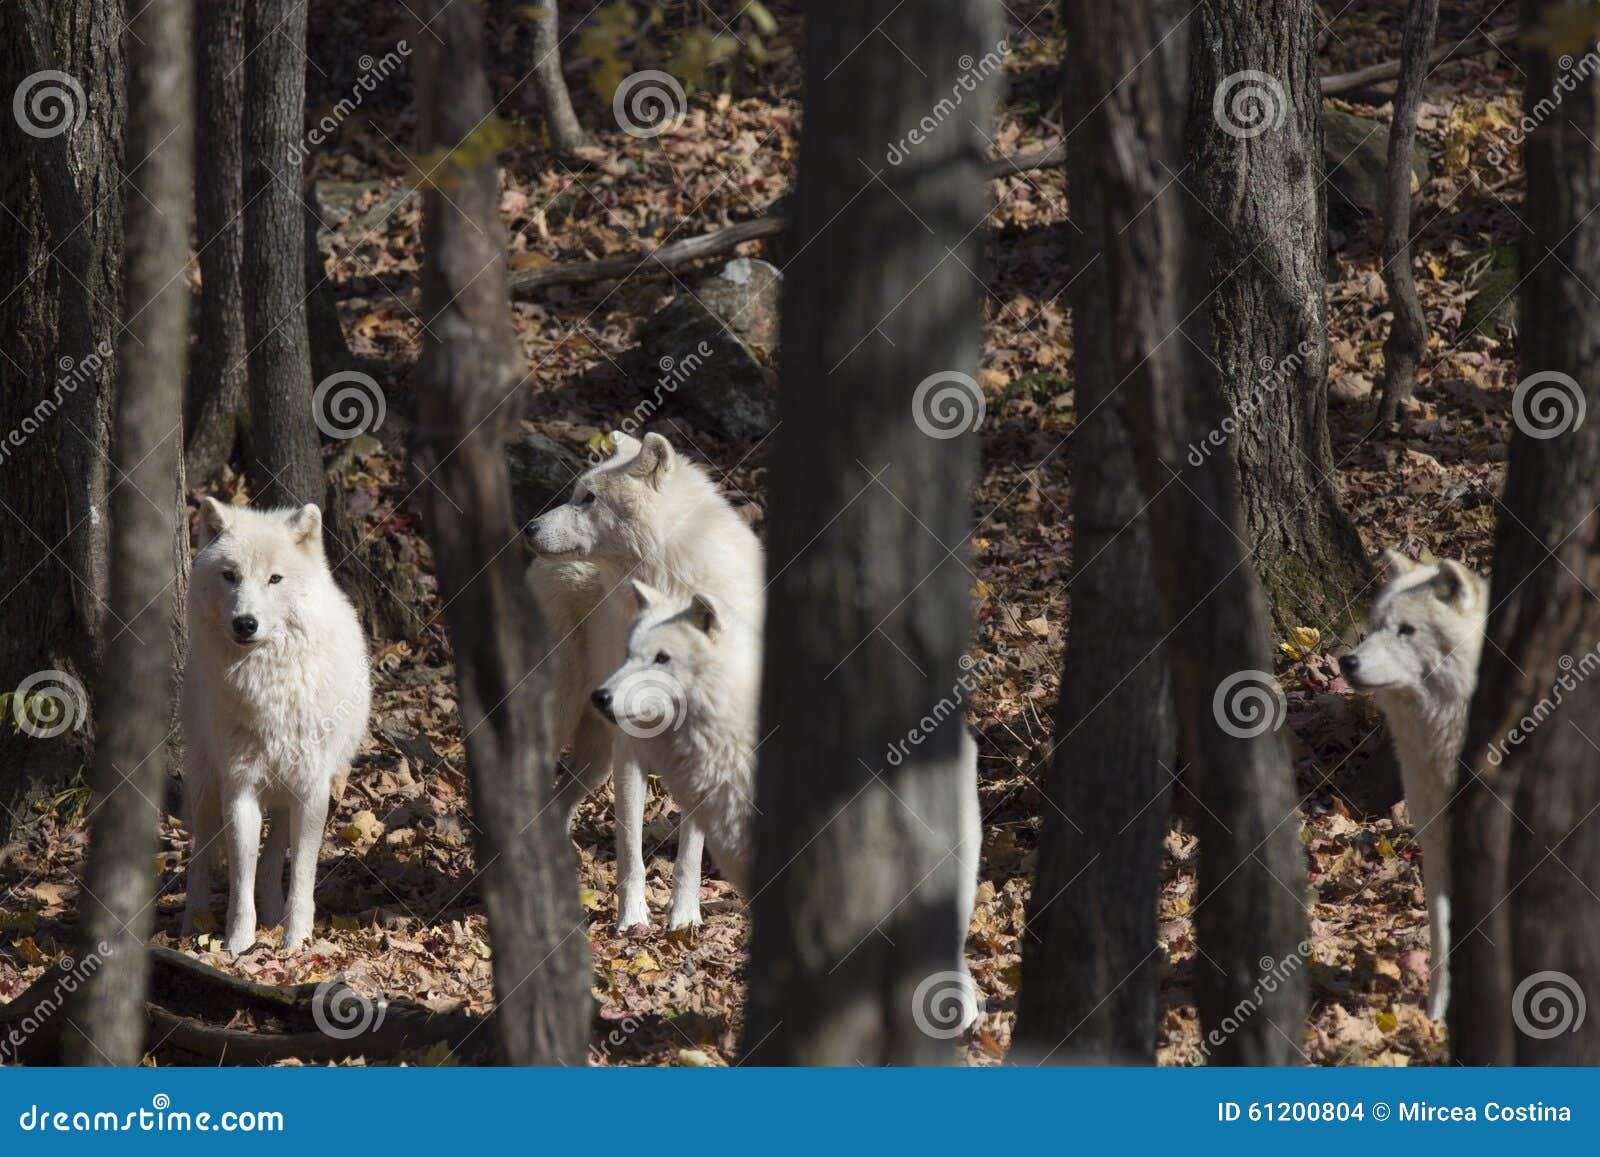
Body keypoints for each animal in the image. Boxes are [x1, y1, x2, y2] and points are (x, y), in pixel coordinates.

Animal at [181, 498, 371, 953]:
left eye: (275, 579)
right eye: (230, 575)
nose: (245, 623)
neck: (269, 685)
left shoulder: (311, 791)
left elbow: (300, 873)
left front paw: (295, 939)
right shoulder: (239, 787)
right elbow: (240, 879)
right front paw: (237, 944)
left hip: (285, 796)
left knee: (271, 864)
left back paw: (274, 915)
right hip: (206, 783)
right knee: (200, 857)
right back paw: (192, 924)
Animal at [526, 431, 762, 928]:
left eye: (589, 498)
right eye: (575, 493)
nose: (530, 528)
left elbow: (690, 852)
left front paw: (685, 918)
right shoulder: (630, 744)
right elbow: (630, 844)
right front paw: (632, 919)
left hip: (595, 757)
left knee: (557, 805)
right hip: (565, 719)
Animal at [1339, 549, 1487, 1020]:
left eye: (1406, 630)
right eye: (1374, 625)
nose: (1346, 662)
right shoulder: (1437, 840)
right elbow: (1441, 933)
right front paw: (1436, 1014)